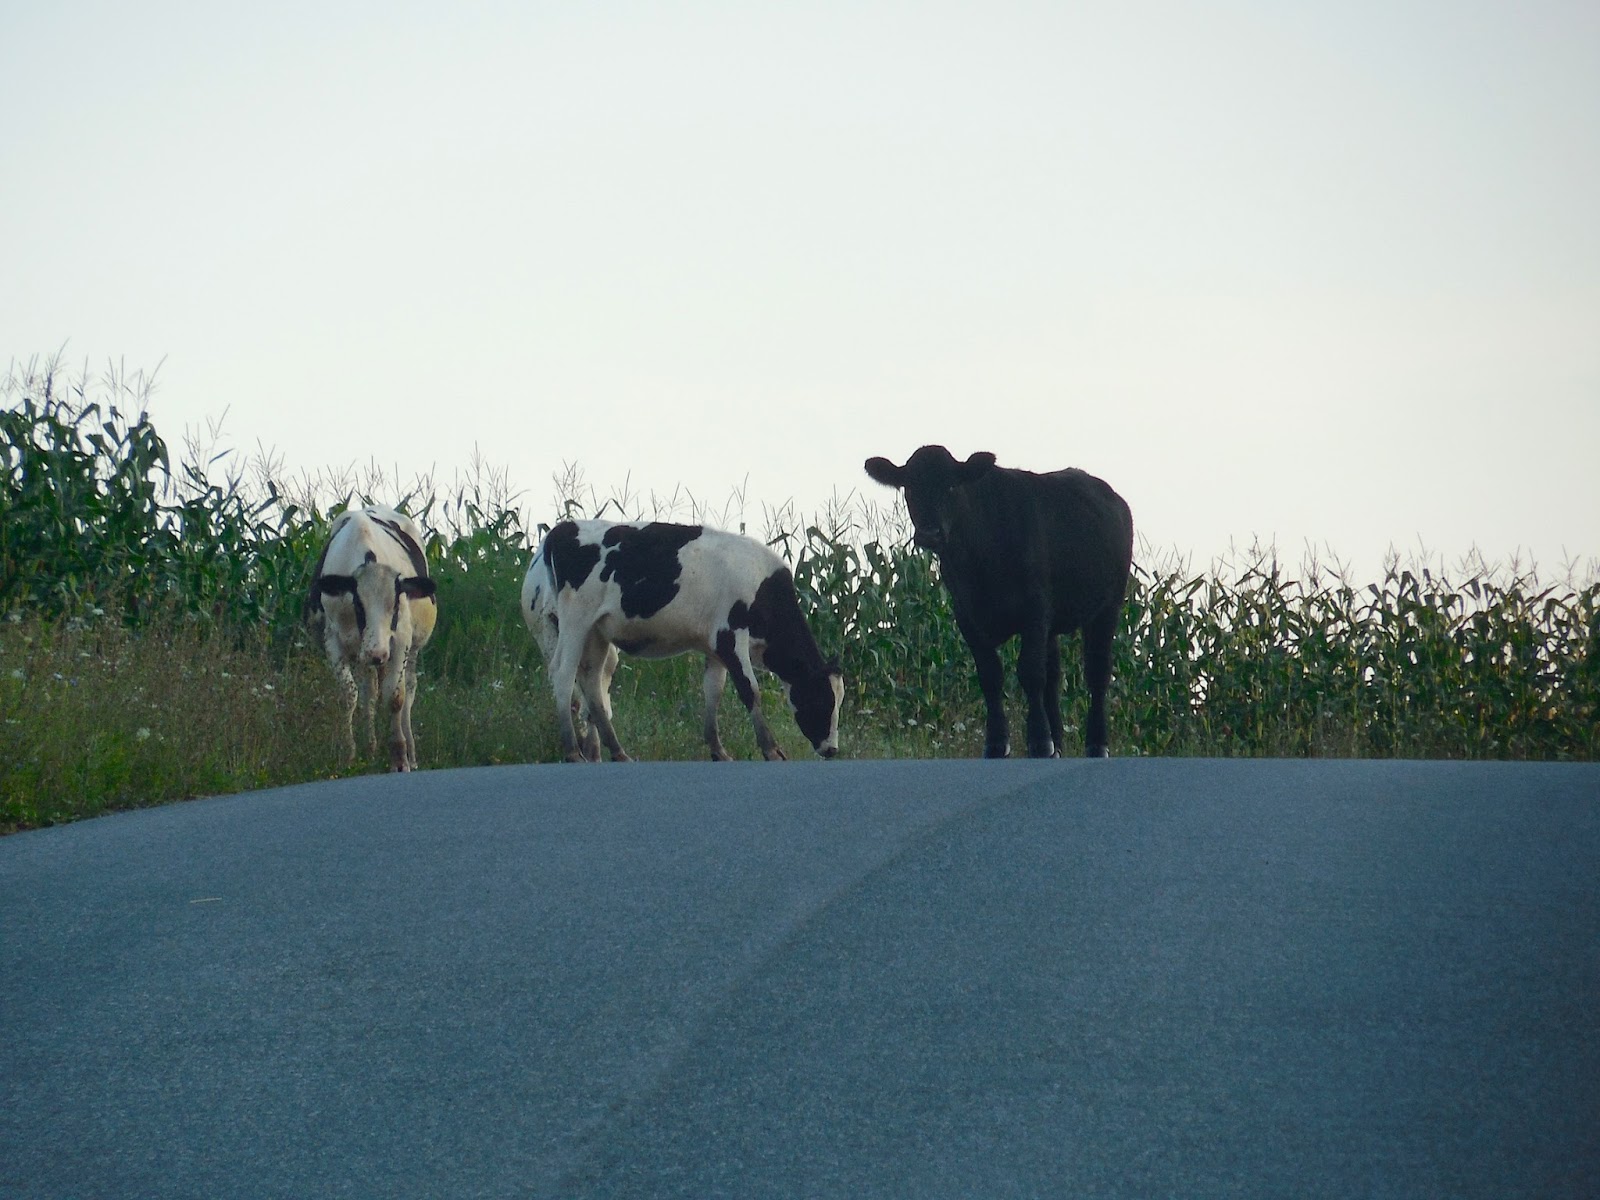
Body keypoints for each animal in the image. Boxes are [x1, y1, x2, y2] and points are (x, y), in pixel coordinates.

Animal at [305, 504, 438, 772]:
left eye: (396, 604)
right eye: (358, 602)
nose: (377, 653)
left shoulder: (400, 640)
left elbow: (395, 697)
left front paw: (399, 758)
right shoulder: (333, 641)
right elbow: (348, 695)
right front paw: (348, 753)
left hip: (412, 649)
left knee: (409, 689)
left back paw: (410, 751)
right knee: (369, 692)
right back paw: (372, 746)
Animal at [522, 519, 844, 763]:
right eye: (822, 699)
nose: (832, 749)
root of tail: (563, 527)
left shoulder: (715, 647)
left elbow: (713, 691)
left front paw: (718, 750)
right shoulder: (730, 636)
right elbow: (749, 690)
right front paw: (771, 749)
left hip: (597, 632)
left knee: (592, 684)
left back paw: (616, 752)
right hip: (576, 619)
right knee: (563, 673)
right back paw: (573, 751)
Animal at [864, 445, 1133, 758]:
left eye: (952, 486)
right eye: (910, 488)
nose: (930, 533)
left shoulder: (1035, 609)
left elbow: (1030, 672)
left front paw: (1039, 740)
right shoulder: (966, 615)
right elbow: (991, 676)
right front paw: (997, 743)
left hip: (1108, 606)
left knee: (1097, 672)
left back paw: (1096, 744)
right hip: (1053, 625)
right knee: (1054, 676)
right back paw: (1057, 745)